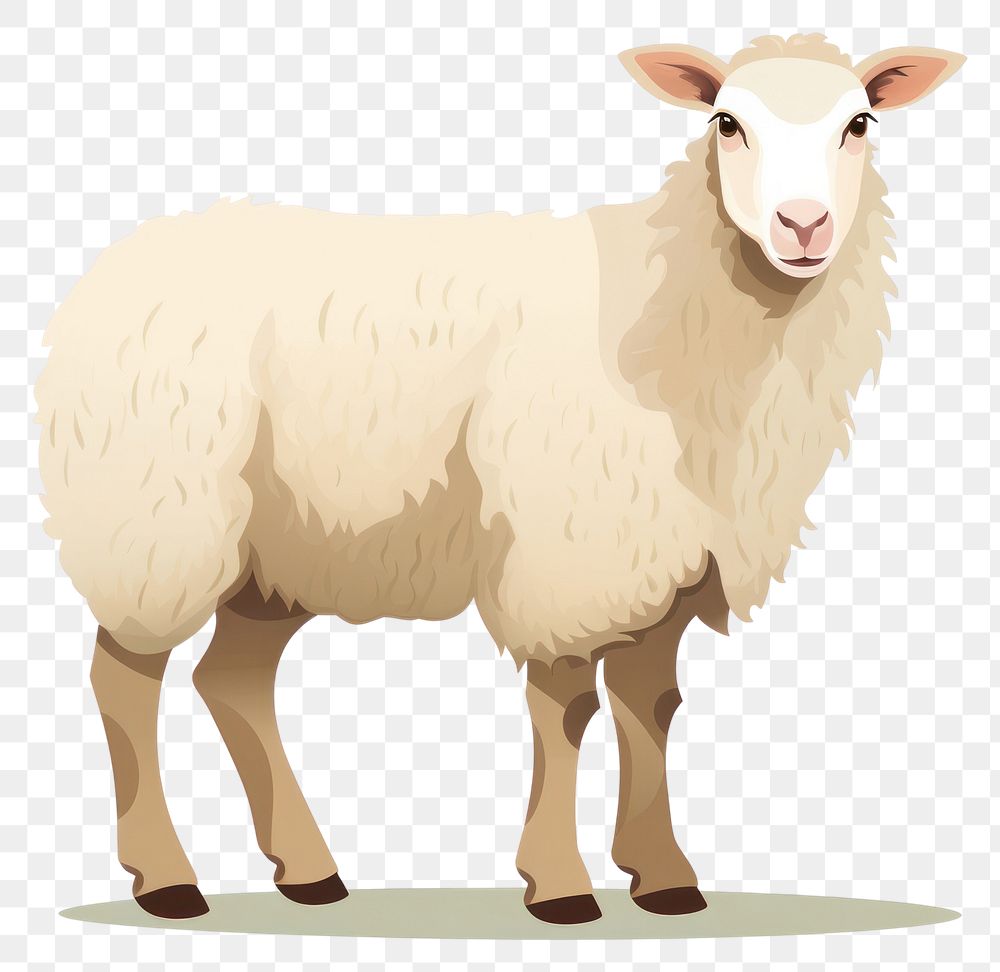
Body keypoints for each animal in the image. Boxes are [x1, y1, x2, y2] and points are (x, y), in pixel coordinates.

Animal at [35, 34, 963, 924]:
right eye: (726, 123)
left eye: (860, 124)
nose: (802, 225)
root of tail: (112, 265)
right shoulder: (570, 542)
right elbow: (570, 709)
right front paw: (560, 886)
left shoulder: (665, 543)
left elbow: (650, 705)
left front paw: (663, 876)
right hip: (156, 514)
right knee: (126, 678)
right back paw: (166, 879)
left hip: (282, 544)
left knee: (231, 682)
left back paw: (308, 871)